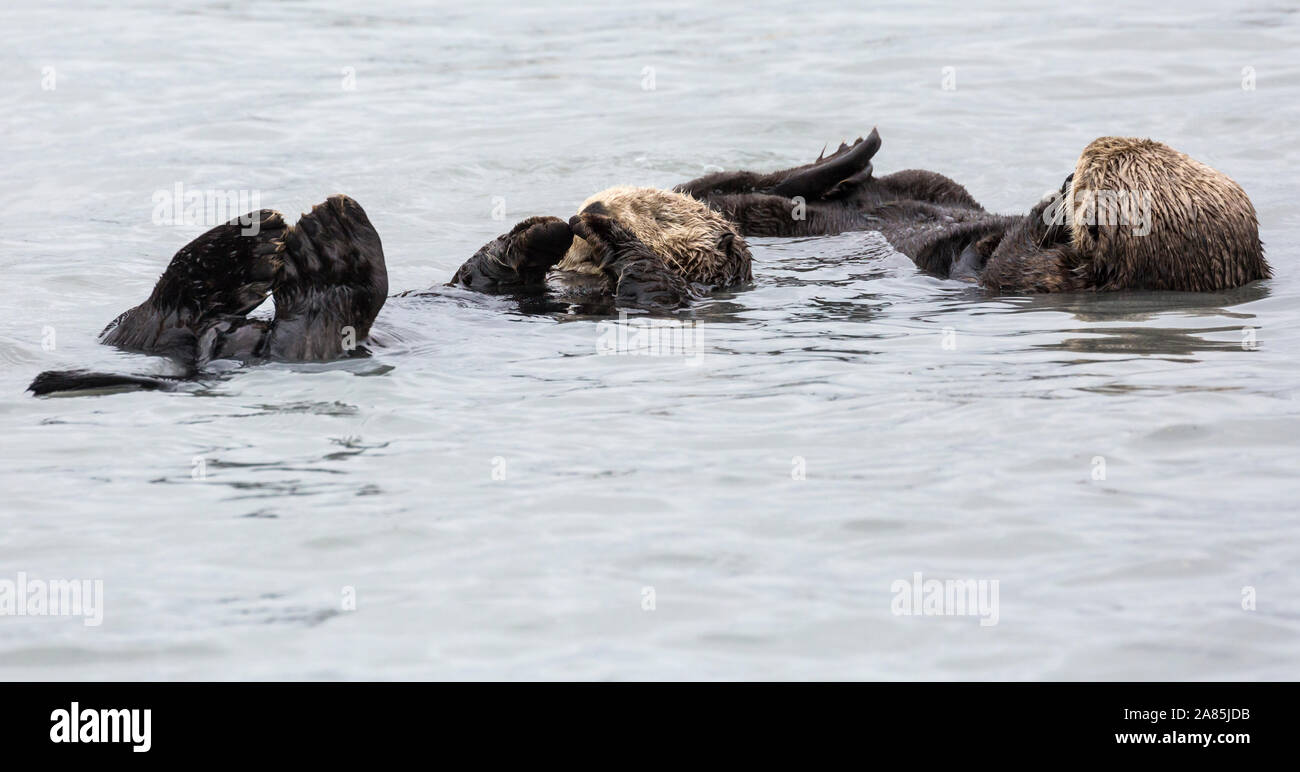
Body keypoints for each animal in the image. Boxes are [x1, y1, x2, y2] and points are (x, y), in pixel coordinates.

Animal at [679, 131, 1269, 293]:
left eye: (1096, 173)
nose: (1071, 170)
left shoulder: (1035, 280)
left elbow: (1001, 259)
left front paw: (1053, 207)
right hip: (931, 181)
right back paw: (856, 157)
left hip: (760, 214)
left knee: (739, 196)